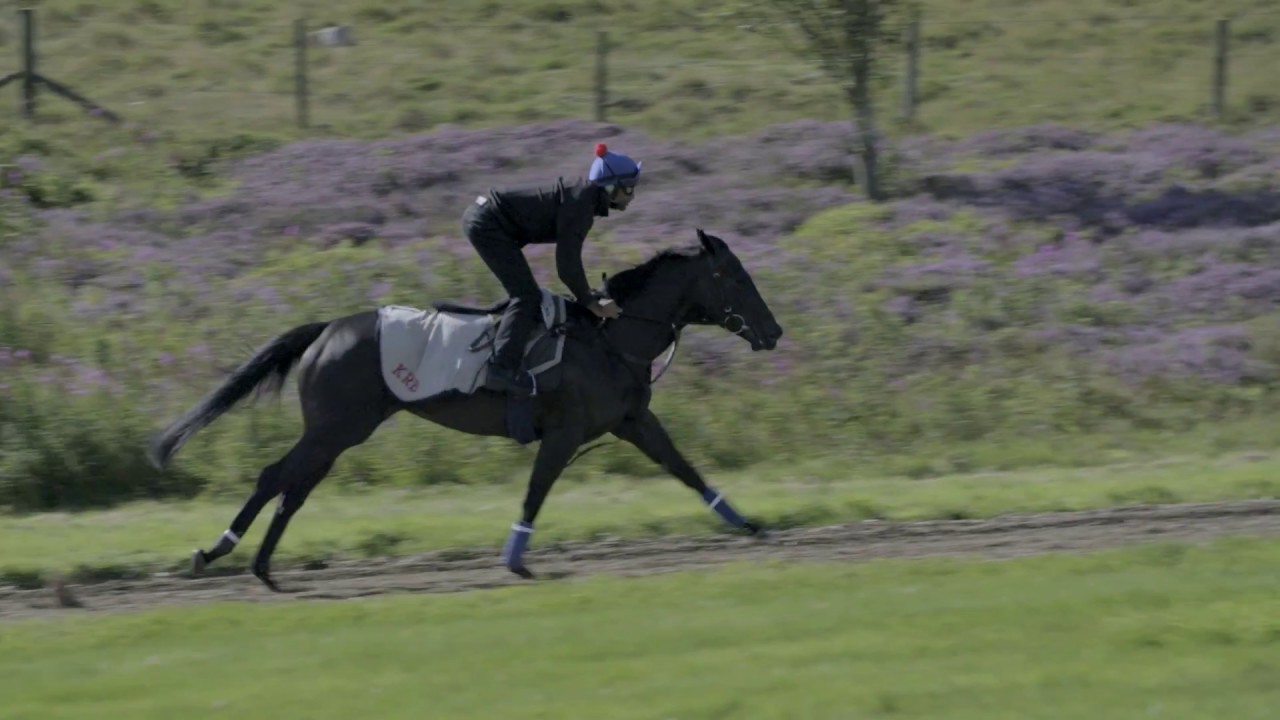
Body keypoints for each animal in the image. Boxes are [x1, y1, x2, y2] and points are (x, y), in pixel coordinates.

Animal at [148, 228, 784, 590]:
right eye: (733, 275)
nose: (774, 331)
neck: (612, 338)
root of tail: (327, 328)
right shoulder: (565, 432)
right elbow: (536, 491)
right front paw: (515, 559)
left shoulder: (634, 423)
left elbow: (687, 470)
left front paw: (748, 524)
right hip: (336, 427)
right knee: (274, 476)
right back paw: (219, 552)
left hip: (340, 433)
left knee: (293, 488)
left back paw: (261, 567)